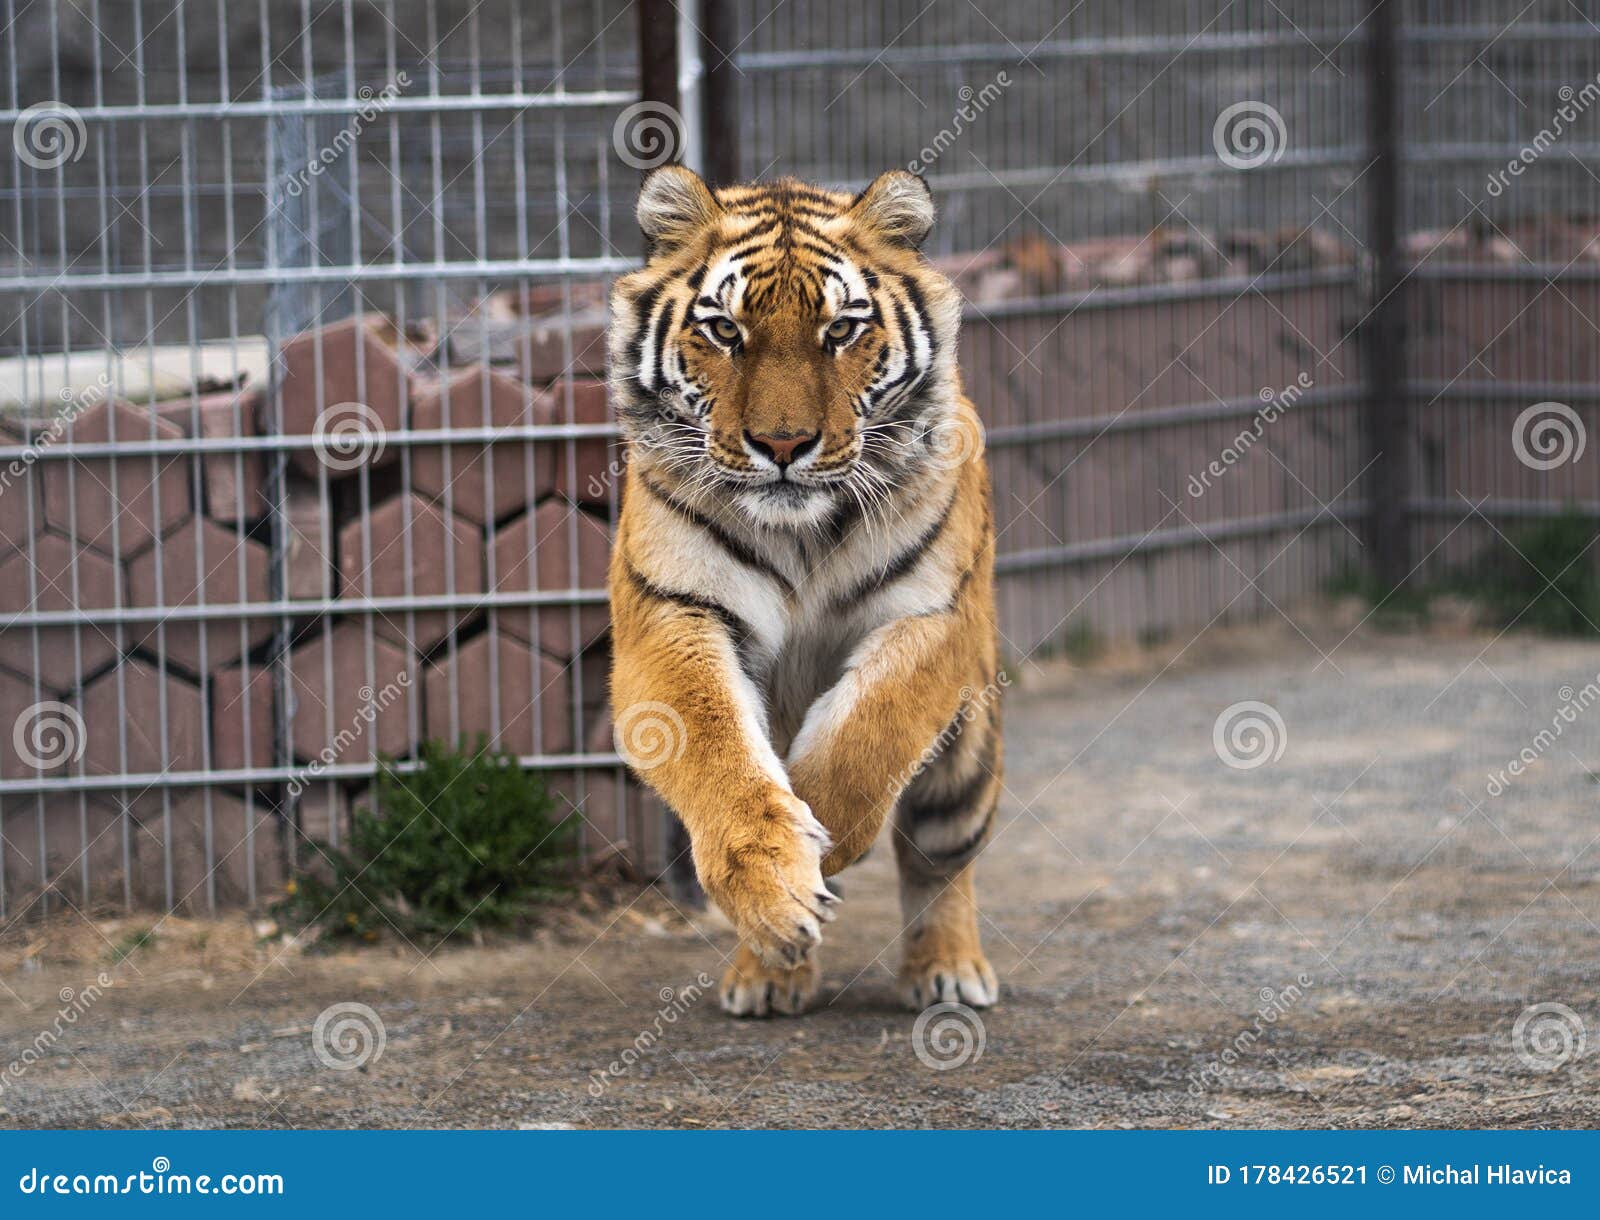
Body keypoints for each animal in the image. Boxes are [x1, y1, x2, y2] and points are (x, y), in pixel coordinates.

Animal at [607, 165, 1003, 1017]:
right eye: (725, 331)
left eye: (842, 330)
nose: (783, 444)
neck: (802, 534)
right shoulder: (674, 613)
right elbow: (721, 755)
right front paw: (775, 886)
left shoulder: (930, 617)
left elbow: (867, 740)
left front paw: (822, 841)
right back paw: (768, 973)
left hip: (967, 755)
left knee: (939, 857)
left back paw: (947, 969)